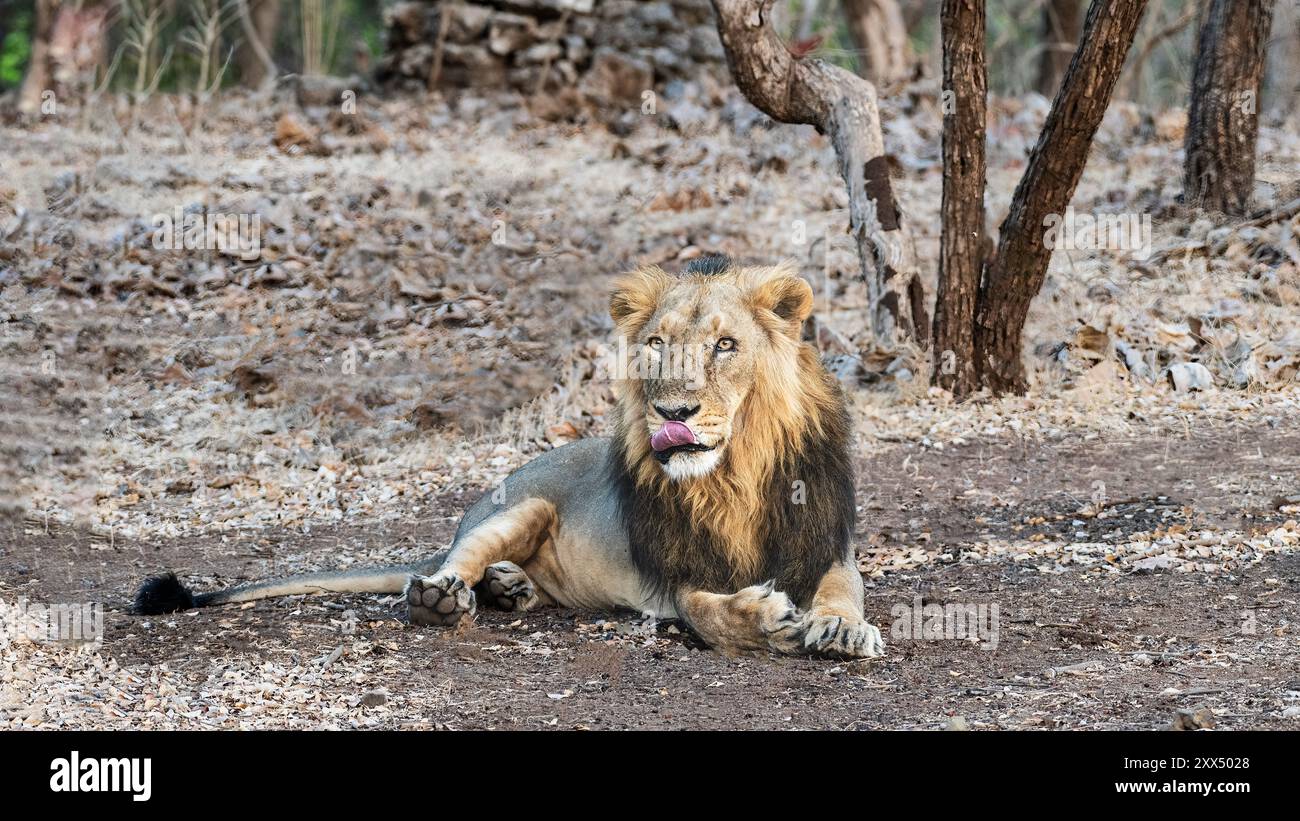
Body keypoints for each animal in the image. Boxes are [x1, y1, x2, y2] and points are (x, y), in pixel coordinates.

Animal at [134, 256, 884, 658]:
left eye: (726, 345)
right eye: (658, 344)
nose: (673, 413)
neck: (735, 475)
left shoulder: (824, 541)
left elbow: (843, 590)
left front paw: (840, 628)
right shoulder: (675, 574)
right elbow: (707, 610)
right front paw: (766, 620)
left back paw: (508, 587)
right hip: (516, 506)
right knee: (451, 564)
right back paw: (445, 596)